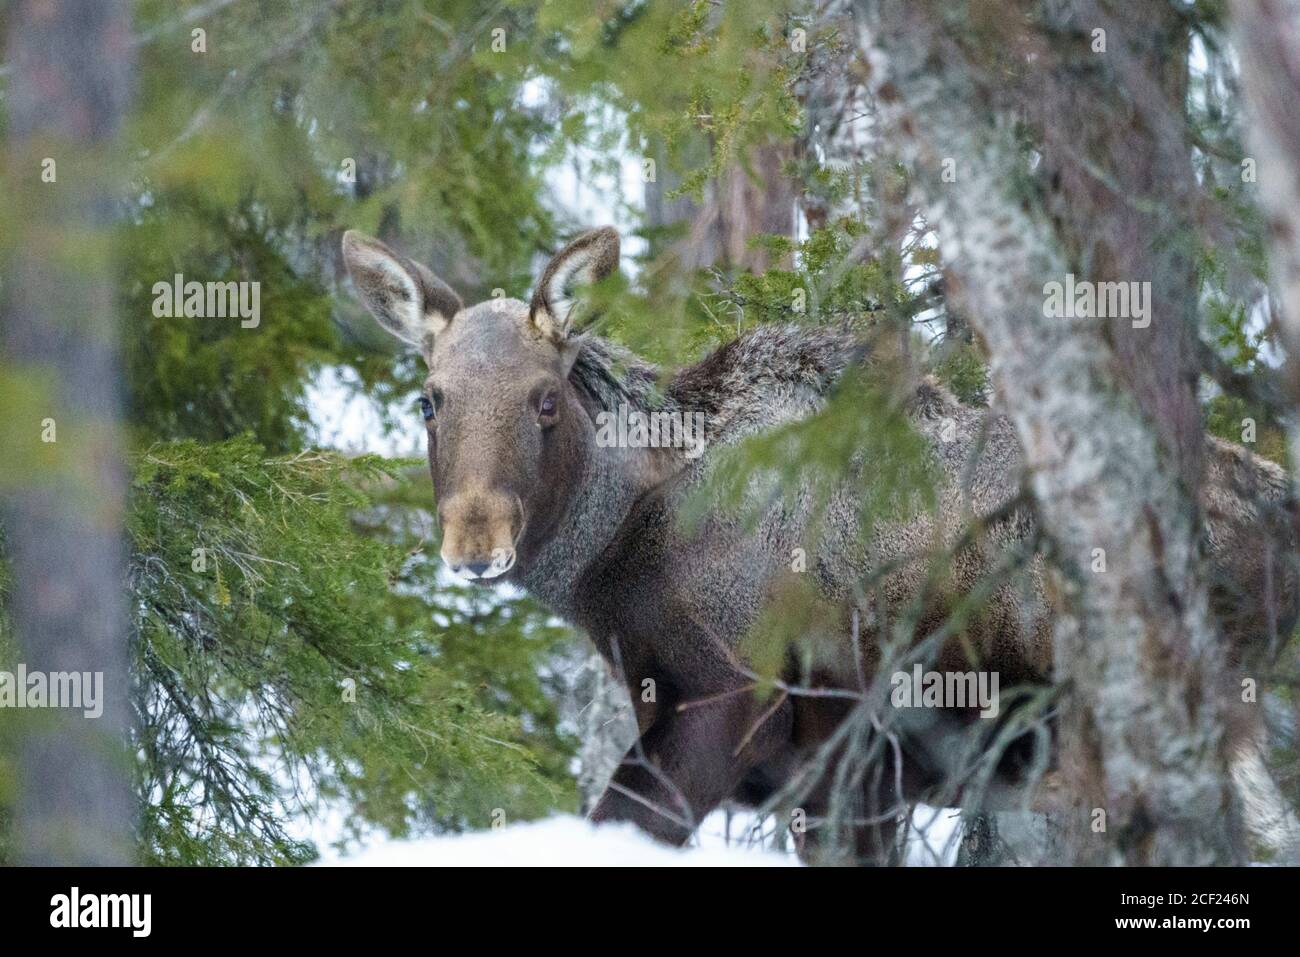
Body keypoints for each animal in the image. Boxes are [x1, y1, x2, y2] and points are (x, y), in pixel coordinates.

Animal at [342, 225, 1300, 861]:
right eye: (430, 399)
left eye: (545, 400)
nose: (475, 543)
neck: (610, 572)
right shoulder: (831, 773)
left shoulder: (741, 708)